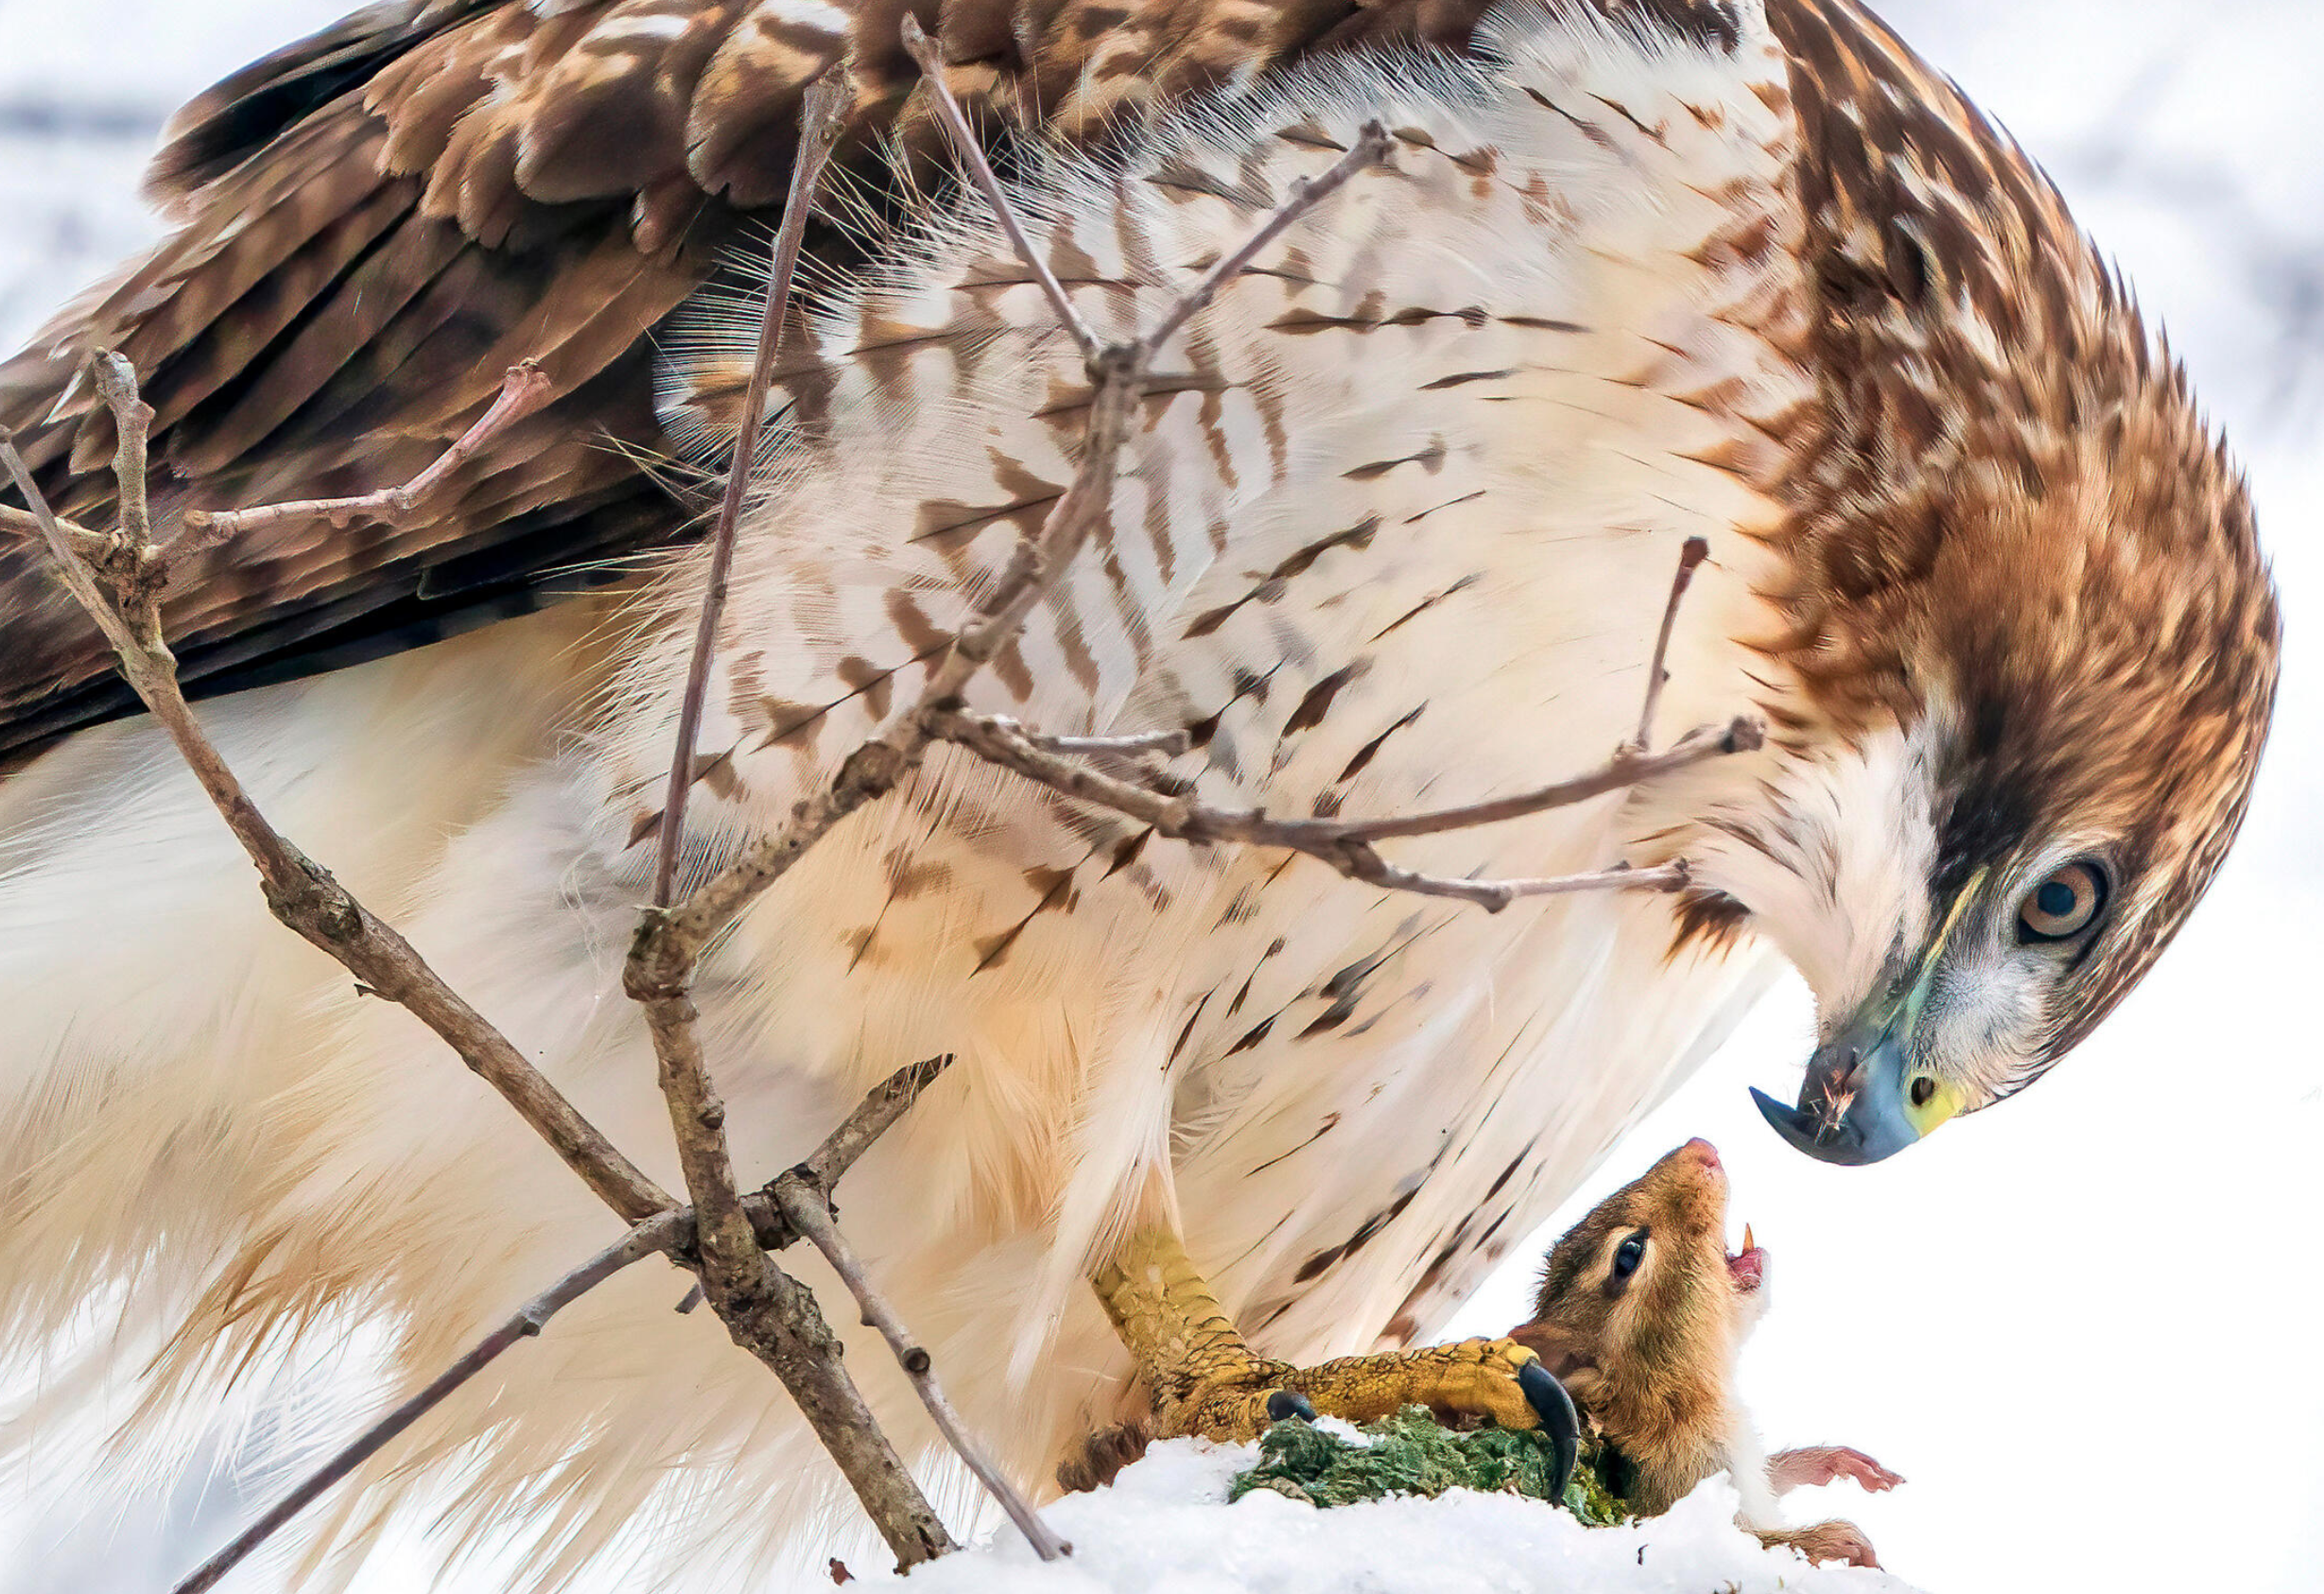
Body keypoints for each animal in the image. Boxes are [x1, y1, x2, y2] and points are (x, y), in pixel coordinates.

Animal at [1511, 1138, 1899, 1568]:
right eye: (1628, 1255)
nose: (1701, 1146)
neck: (1679, 1399)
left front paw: (1829, 1460)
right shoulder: (1686, 1489)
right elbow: (1748, 1542)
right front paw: (1837, 1540)